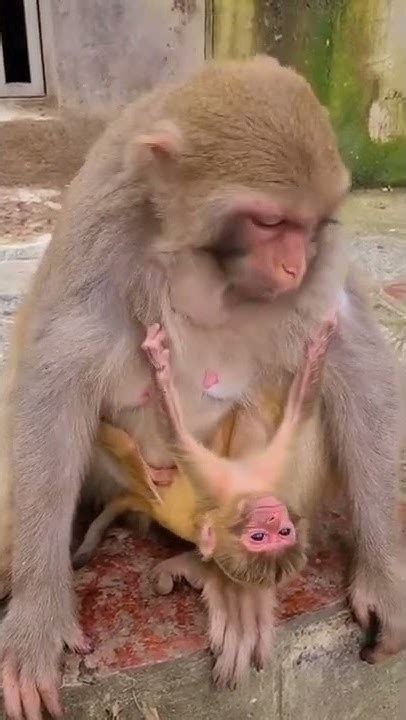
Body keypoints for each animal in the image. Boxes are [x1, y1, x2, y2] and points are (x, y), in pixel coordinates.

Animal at [0, 55, 404, 718]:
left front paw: (385, 573)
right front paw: (37, 614)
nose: (295, 265)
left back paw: (224, 573)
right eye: (269, 221)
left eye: (311, 225)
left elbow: (353, 353)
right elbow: (54, 384)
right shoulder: (104, 223)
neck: (201, 259)